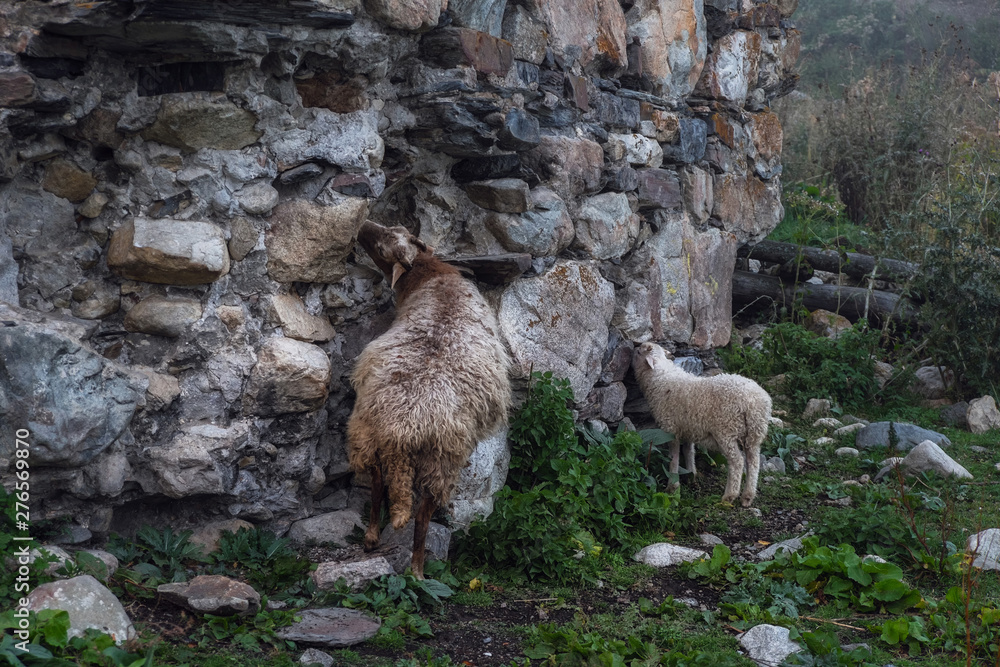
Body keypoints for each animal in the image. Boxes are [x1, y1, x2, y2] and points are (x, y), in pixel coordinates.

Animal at [347, 220, 511, 578]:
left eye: (384, 243)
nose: (363, 225)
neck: (430, 275)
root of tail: (401, 428)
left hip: (367, 432)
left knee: (378, 484)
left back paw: (371, 538)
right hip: (442, 460)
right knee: (421, 515)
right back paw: (417, 569)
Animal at [633, 342, 771, 507]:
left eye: (639, 352)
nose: (634, 348)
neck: (660, 378)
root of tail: (752, 402)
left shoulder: (670, 430)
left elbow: (674, 458)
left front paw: (672, 487)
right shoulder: (689, 428)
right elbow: (688, 451)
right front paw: (691, 475)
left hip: (726, 431)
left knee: (737, 461)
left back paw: (729, 496)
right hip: (755, 432)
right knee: (754, 462)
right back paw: (747, 496)